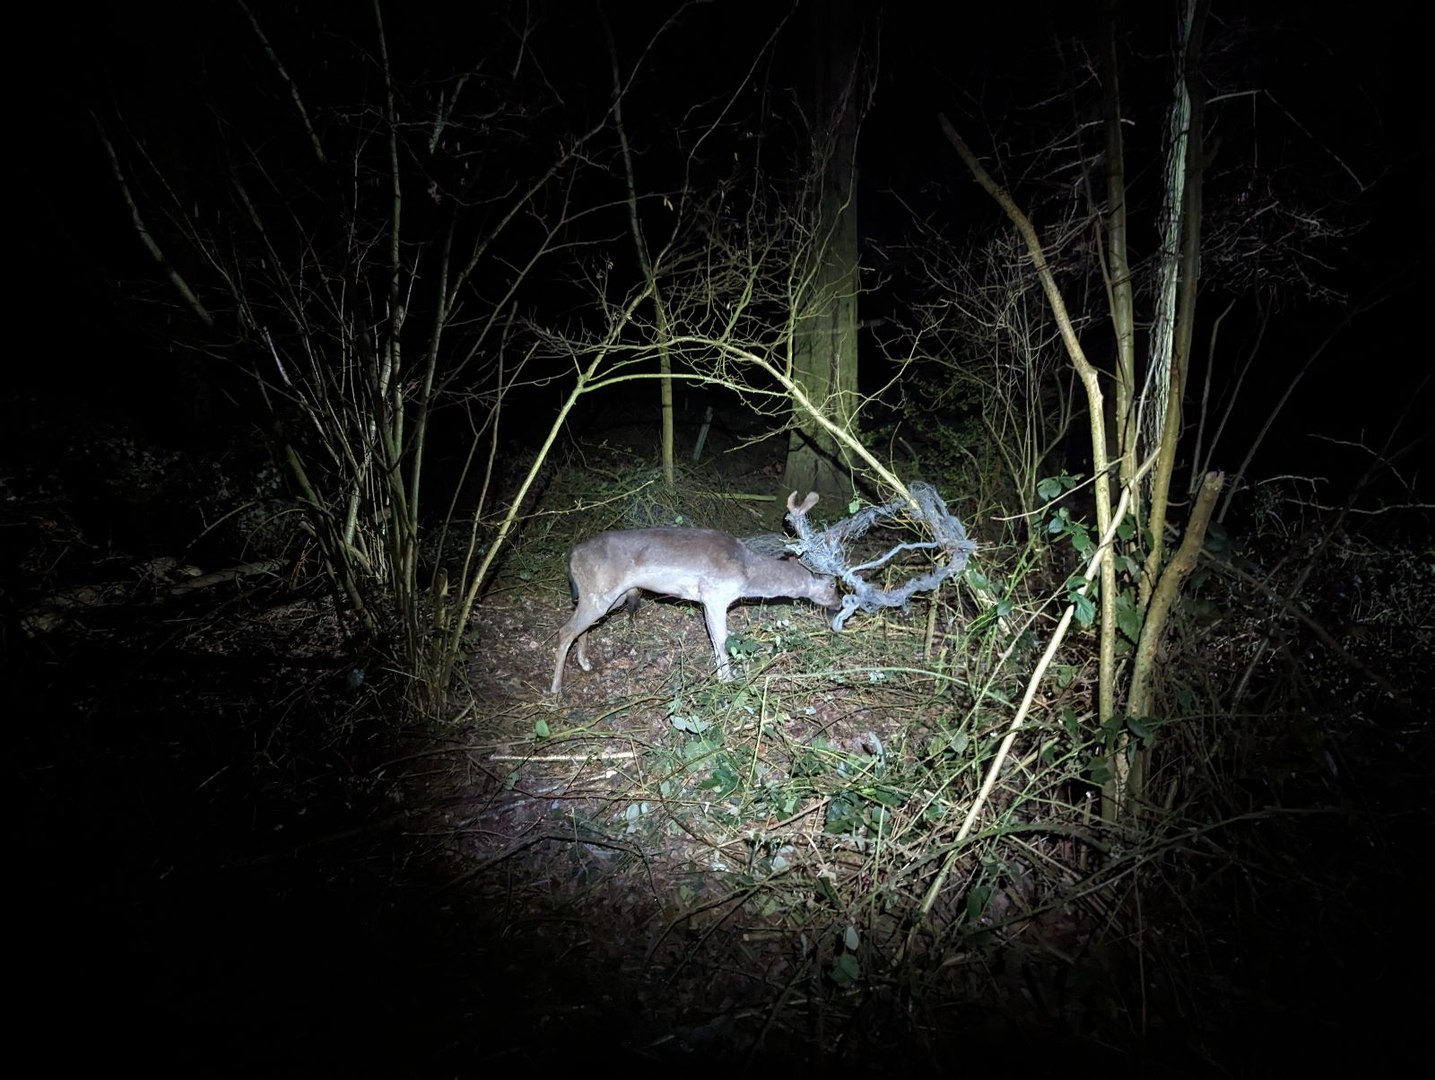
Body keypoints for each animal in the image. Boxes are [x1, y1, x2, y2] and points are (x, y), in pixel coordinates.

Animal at [551, 492, 841, 695]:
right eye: (833, 584)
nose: (839, 603)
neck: (747, 572)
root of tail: (573, 554)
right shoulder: (715, 595)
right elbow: (722, 639)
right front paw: (728, 681)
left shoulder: (707, 601)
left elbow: (714, 639)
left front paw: (721, 677)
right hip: (600, 592)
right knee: (565, 630)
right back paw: (556, 689)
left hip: (612, 596)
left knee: (583, 627)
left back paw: (585, 663)